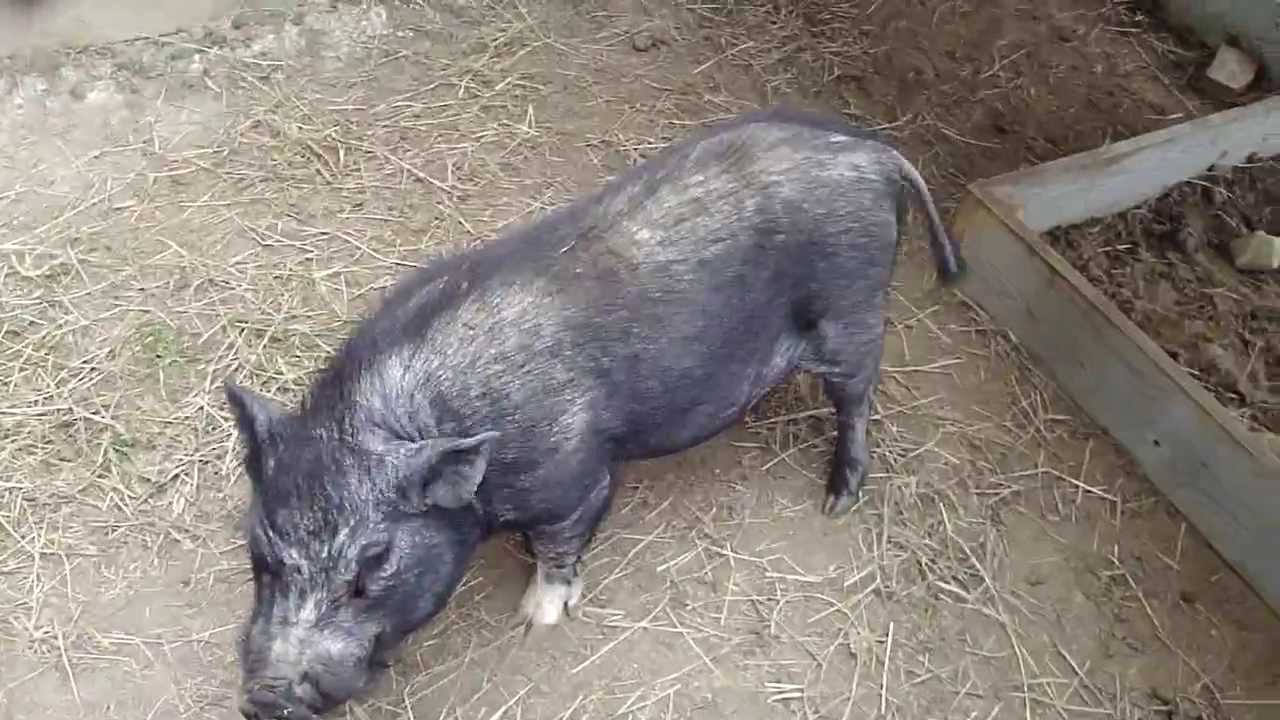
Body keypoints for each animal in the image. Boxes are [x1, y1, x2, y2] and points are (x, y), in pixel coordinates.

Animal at [226, 105, 965, 719]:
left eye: (369, 571)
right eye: (261, 554)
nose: (264, 699)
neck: (425, 420)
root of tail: (872, 154)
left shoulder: (576, 476)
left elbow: (561, 546)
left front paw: (534, 620)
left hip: (852, 306)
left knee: (860, 396)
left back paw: (838, 499)